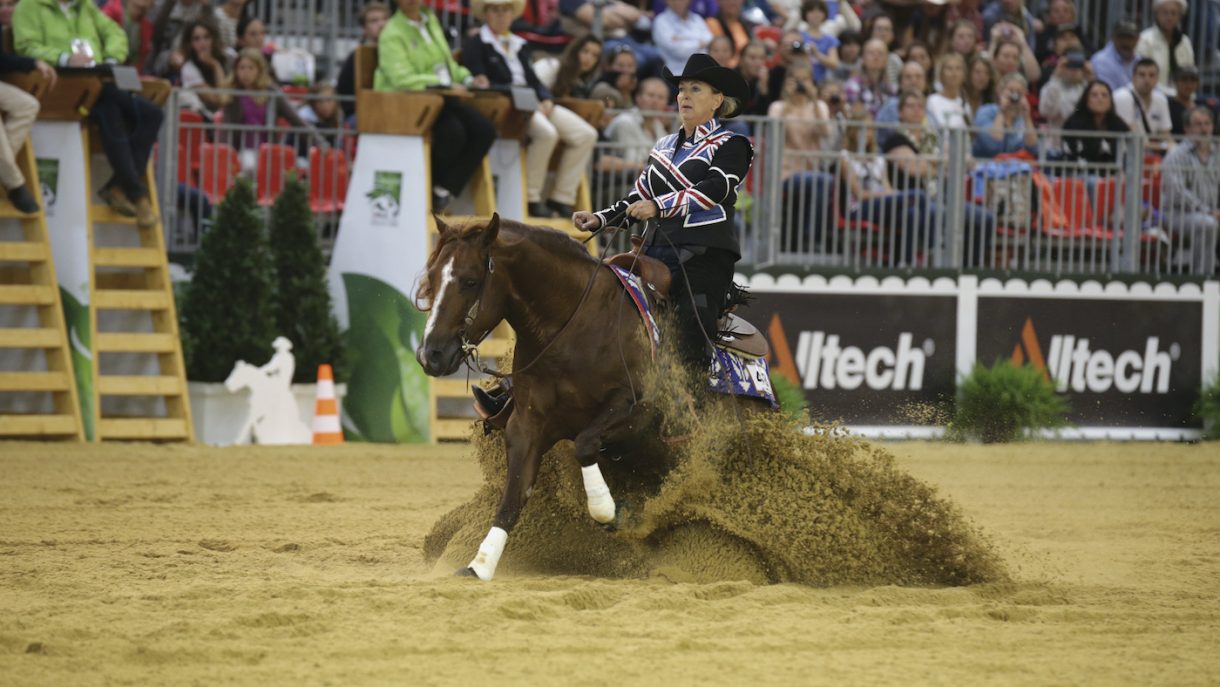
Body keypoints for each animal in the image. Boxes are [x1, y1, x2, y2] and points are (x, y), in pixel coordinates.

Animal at [415, 213, 772, 581]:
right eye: (432, 278)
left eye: (470, 281)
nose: (431, 354)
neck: (573, 327)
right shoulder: (527, 425)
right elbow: (513, 496)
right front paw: (480, 564)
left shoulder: (633, 413)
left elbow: (585, 444)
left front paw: (609, 510)